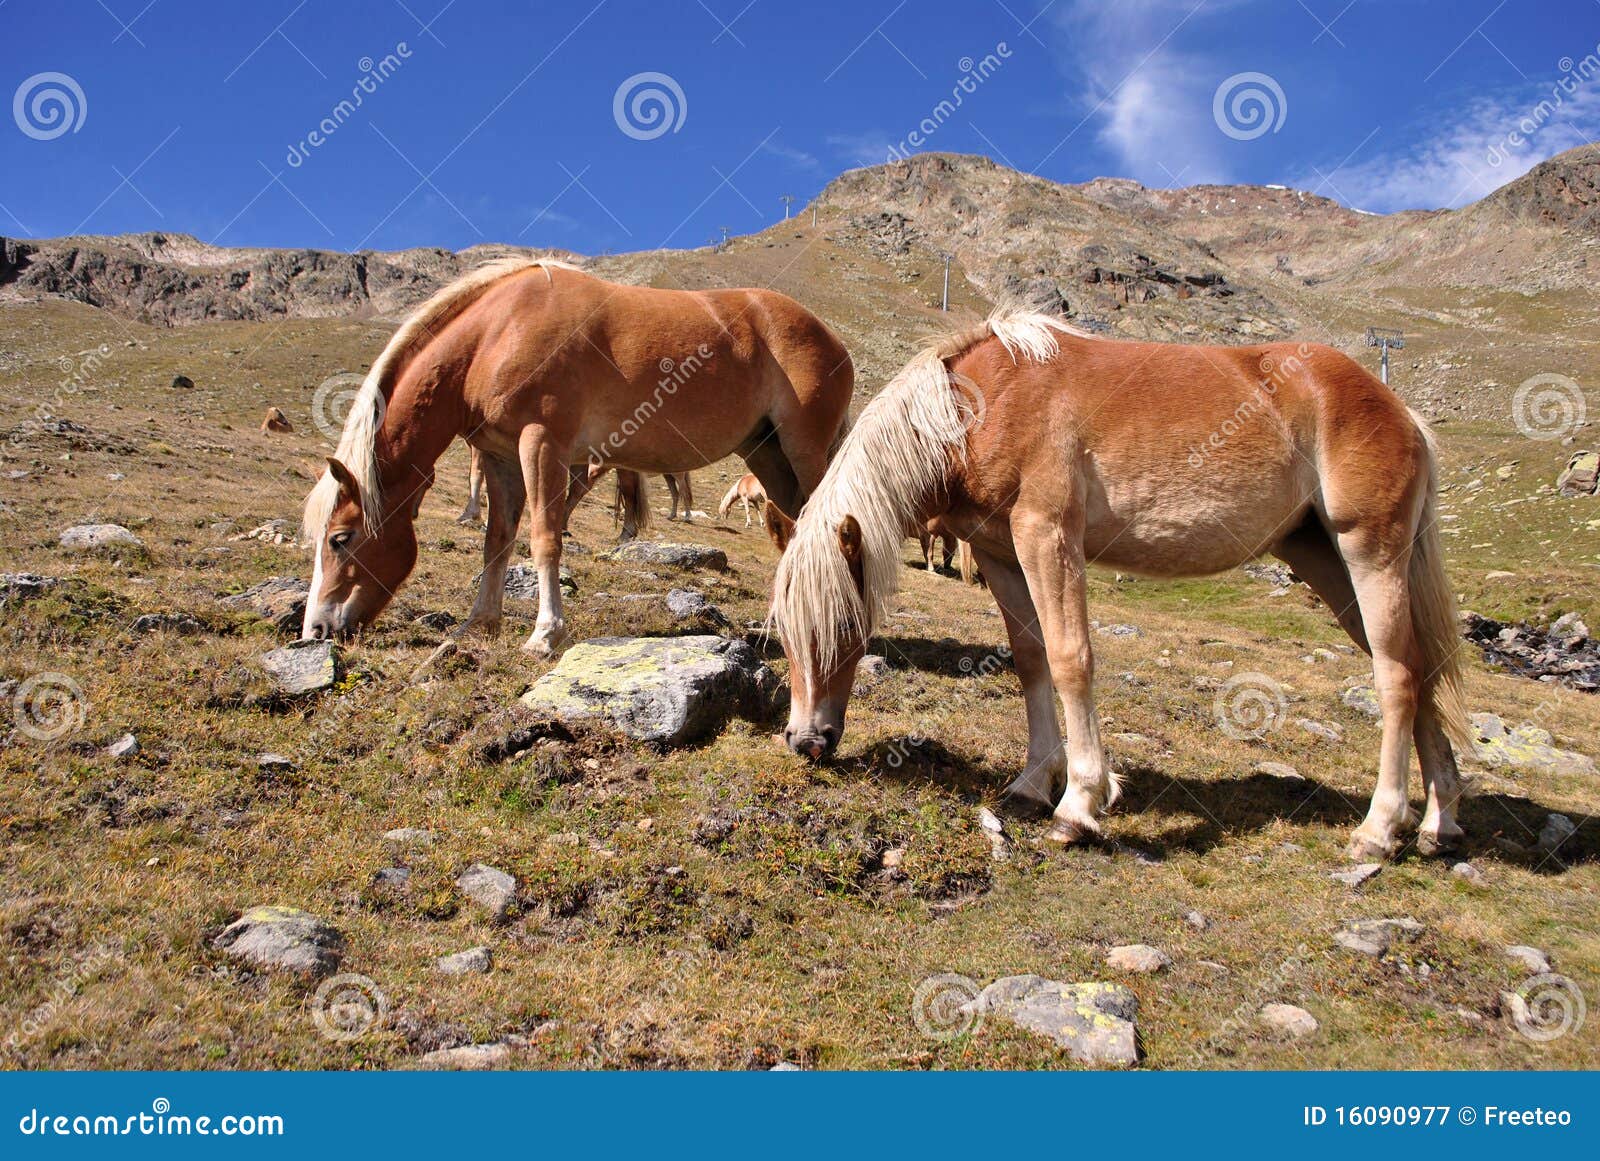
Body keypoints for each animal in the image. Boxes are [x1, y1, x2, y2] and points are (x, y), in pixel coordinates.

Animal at [302, 258, 853, 654]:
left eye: (340, 539)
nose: (315, 631)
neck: (498, 332)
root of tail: (830, 337)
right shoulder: (501, 457)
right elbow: (497, 542)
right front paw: (479, 624)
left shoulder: (542, 443)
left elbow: (544, 538)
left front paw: (545, 635)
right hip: (767, 456)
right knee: (793, 529)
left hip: (803, 451)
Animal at [769, 308, 1472, 862]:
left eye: (840, 627)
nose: (805, 742)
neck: (983, 403)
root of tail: (1400, 410)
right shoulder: (1001, 555)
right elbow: (1031, 661)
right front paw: (1031, 784)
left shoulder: (1047, 536)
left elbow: (1070, 658)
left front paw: (1078, 805)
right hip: (1327, 564)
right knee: (1420, 672)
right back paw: (1438, 824)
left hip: (1370, 555)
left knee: (1397, 679)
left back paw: (1378, 830)